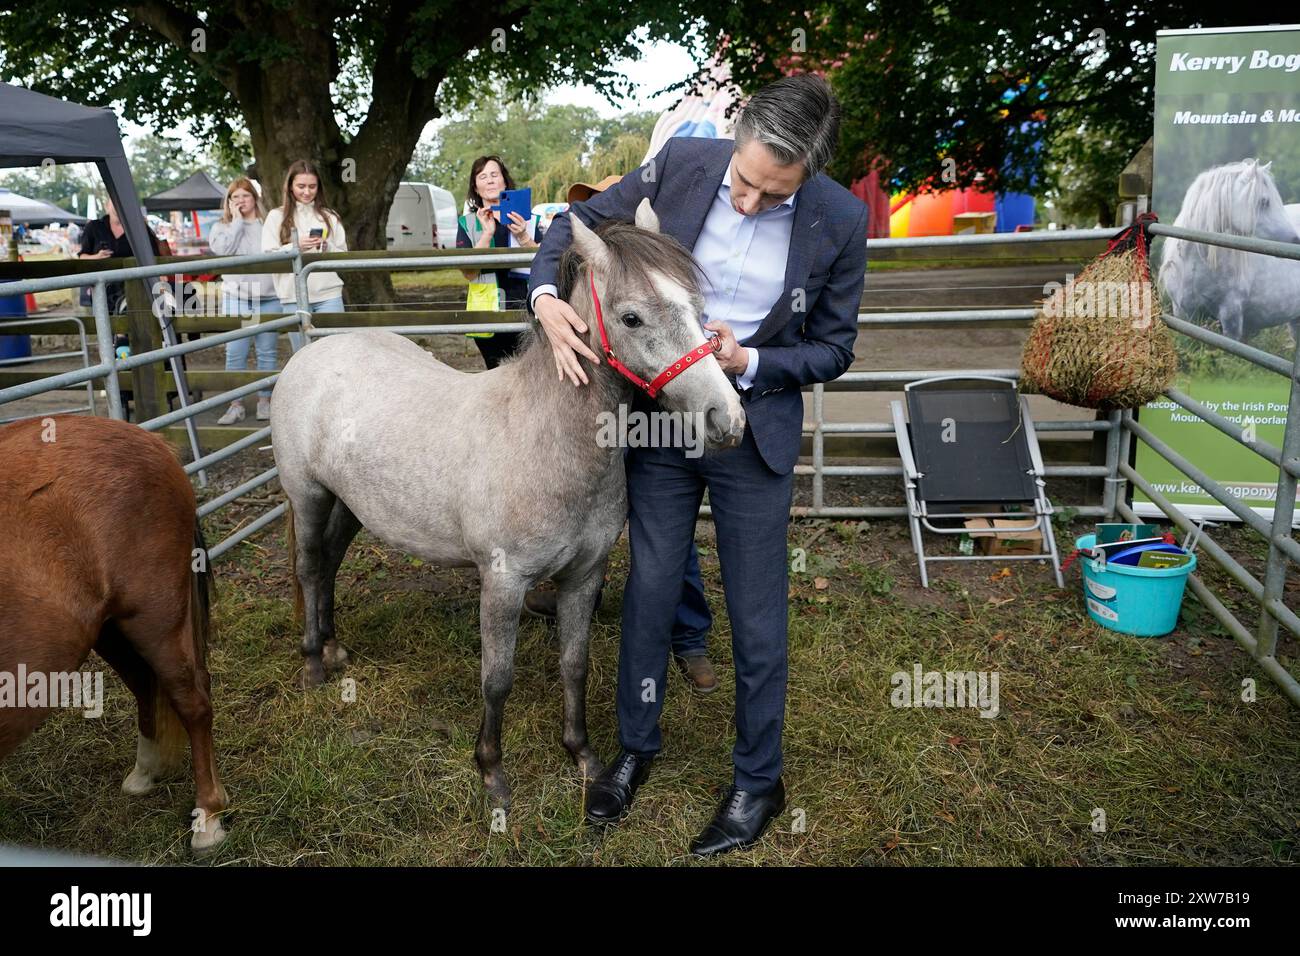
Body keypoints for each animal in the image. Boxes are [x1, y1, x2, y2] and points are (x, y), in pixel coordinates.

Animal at [0, 415, 227, 853]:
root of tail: (149, 439)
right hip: (108, 627)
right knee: (145, 685)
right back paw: (145, 772)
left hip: (155, 620)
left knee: (191, 701)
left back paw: (207, 817)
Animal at [271, 199, 746, 806]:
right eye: (632, 318)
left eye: (695, 305)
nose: (725, 419)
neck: (546, 438)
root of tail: (312, 353)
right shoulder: (502, 582)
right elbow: (497, 679)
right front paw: (491, 770)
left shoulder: (583, 576)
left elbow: (575, 663)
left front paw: (582, 755)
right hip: (308, 496)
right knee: (310, 568)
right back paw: (313, 664)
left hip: (351, 505)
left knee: (329, 564)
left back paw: (333, 648)